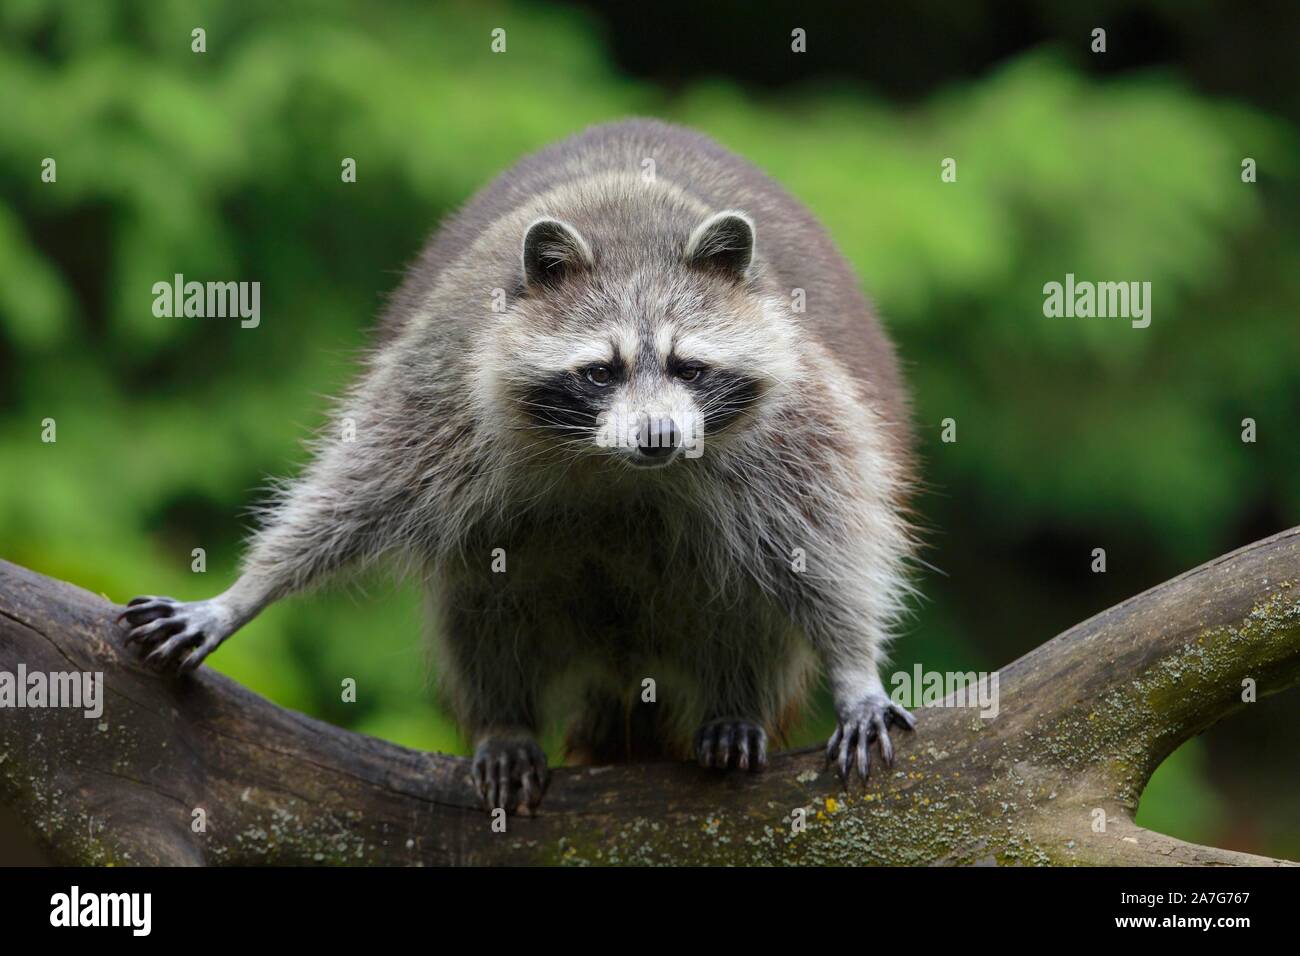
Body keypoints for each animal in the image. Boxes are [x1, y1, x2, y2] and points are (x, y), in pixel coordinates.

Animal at [118, 119, 918, 814]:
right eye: (601, 371)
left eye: (689, 366)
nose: (659, 437)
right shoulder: (447, 377)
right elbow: (356, 485)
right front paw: (243, 592)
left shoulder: (794, 420)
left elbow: (827, 540)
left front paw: (855, 670)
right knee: (486, 599)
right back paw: (505, 719)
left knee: (748, 601)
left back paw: (735, 704)